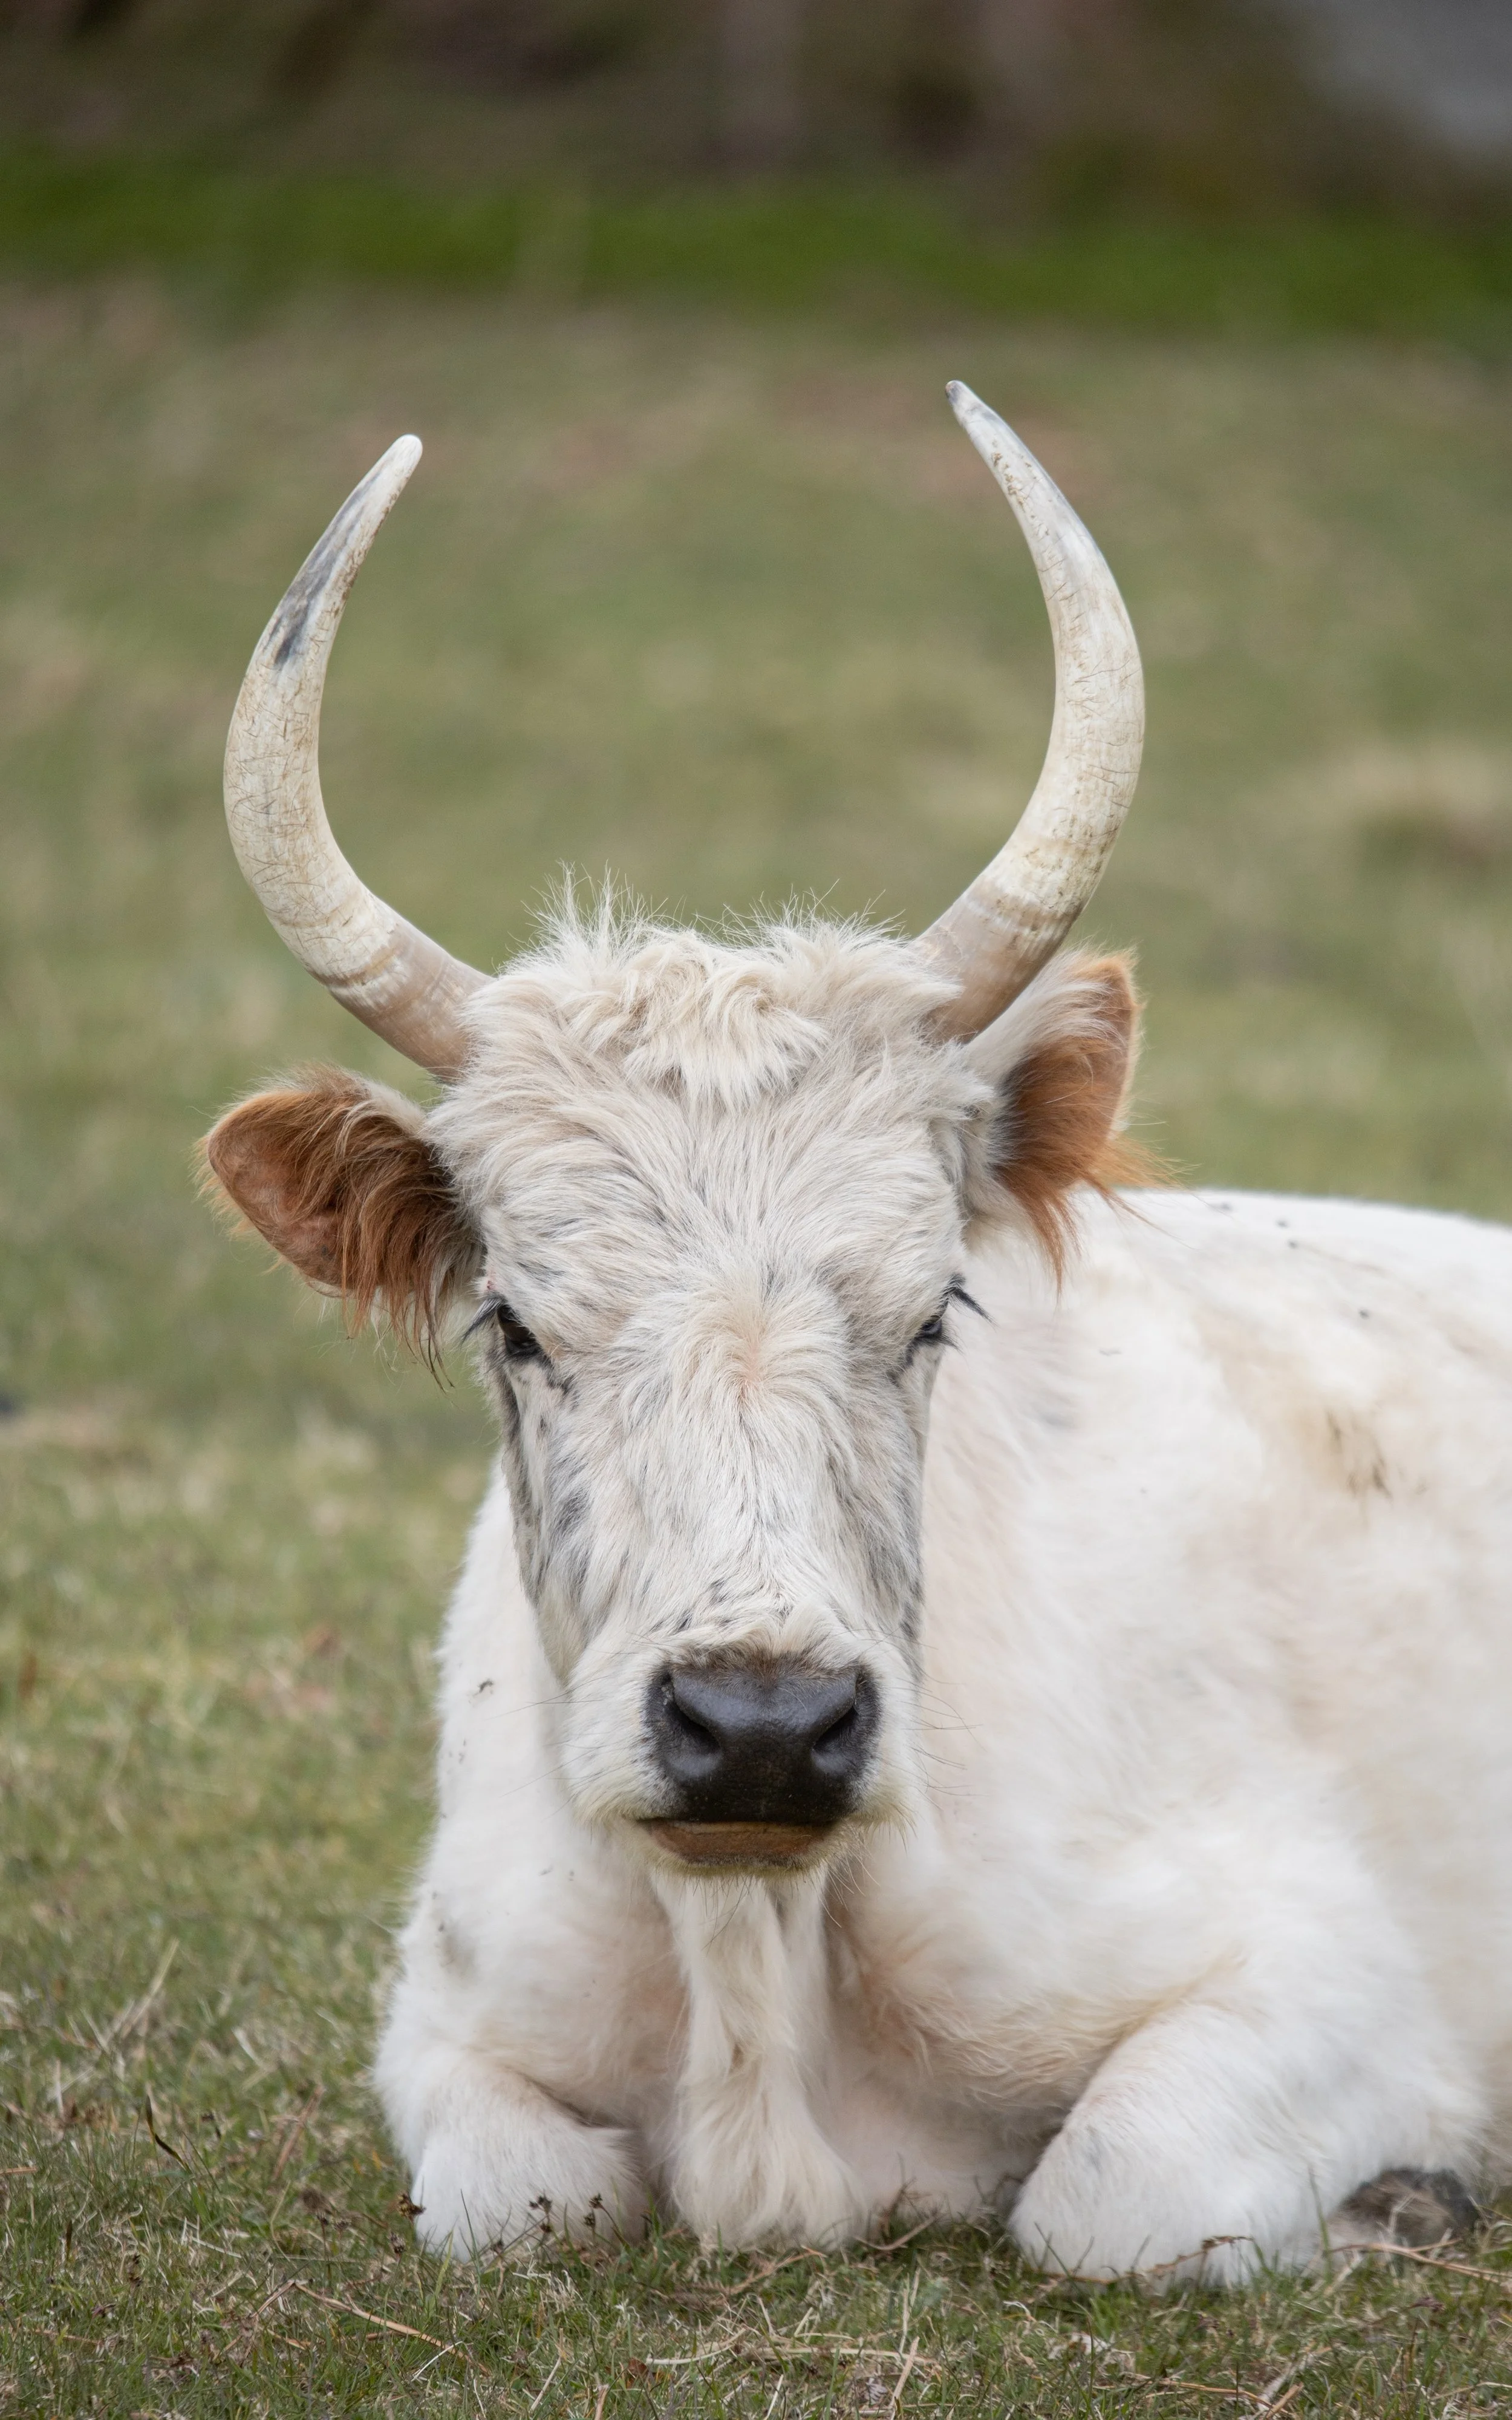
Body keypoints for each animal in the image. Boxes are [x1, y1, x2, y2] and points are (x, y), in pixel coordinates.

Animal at [203, 385, 1512, 2283]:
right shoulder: (449, 2024)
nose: (760, 1723)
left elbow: (1117, 2194)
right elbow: (518, 2205)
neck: (762, 1963)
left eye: (933, 1309)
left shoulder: (1339, 1983)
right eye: (512, 1323)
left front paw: (1402, 2197)